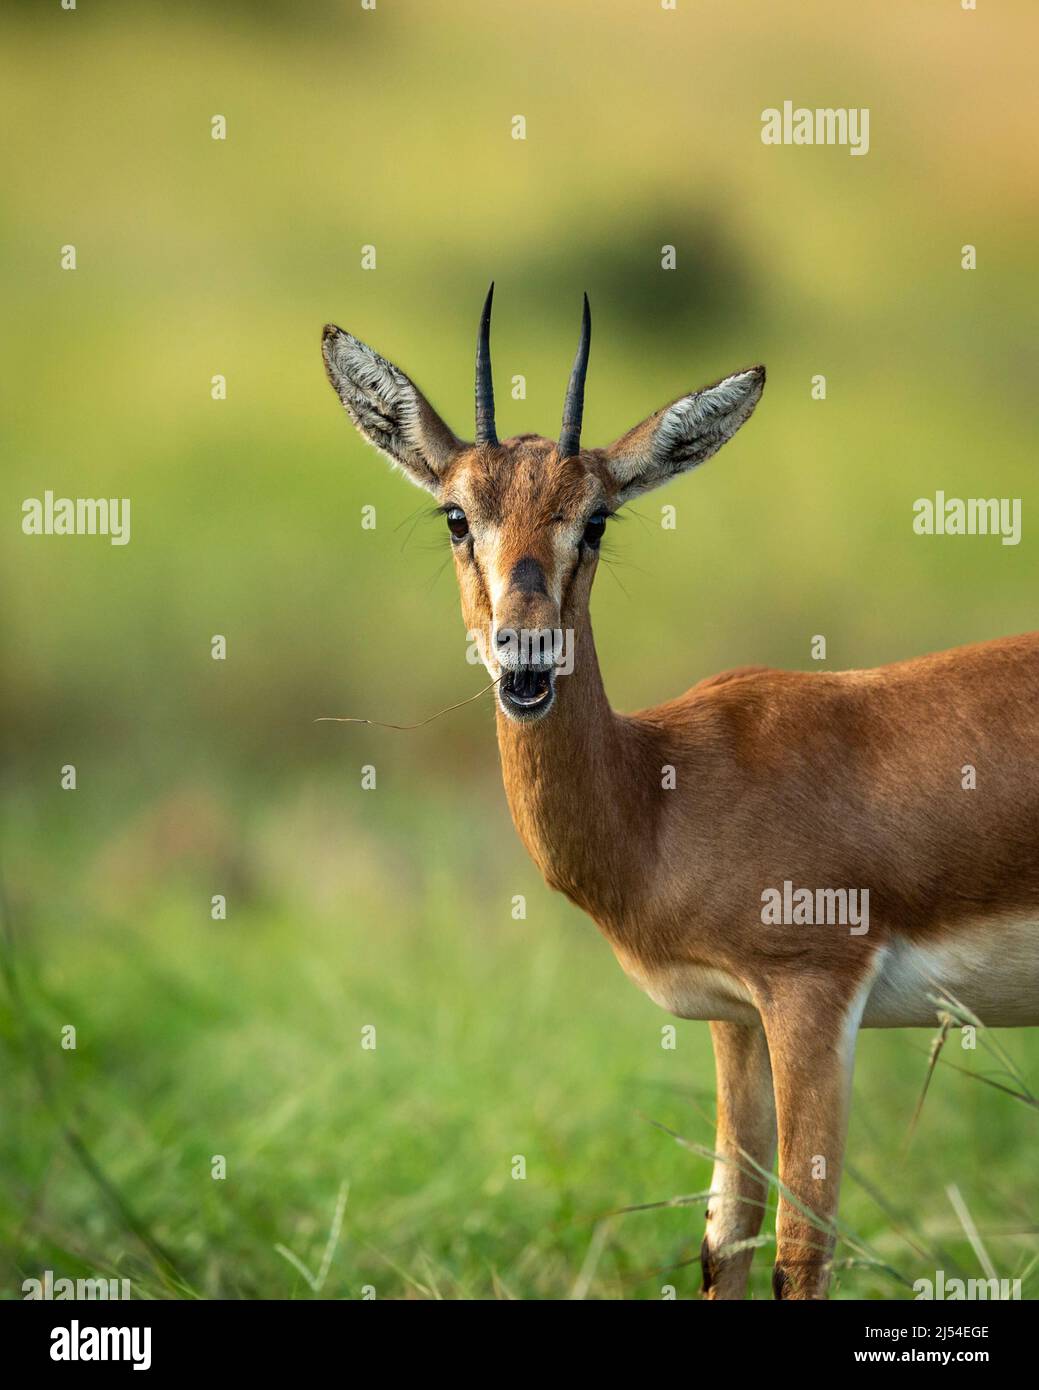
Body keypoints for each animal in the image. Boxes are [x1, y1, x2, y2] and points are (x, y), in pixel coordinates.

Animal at [321, 287, 1039, 1300]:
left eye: (596, 519)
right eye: (455, 515)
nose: (525, 657)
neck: (659, 795)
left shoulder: (811, 995)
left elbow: (798, 1247)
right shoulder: (735, 1019)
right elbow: (723, 1235)